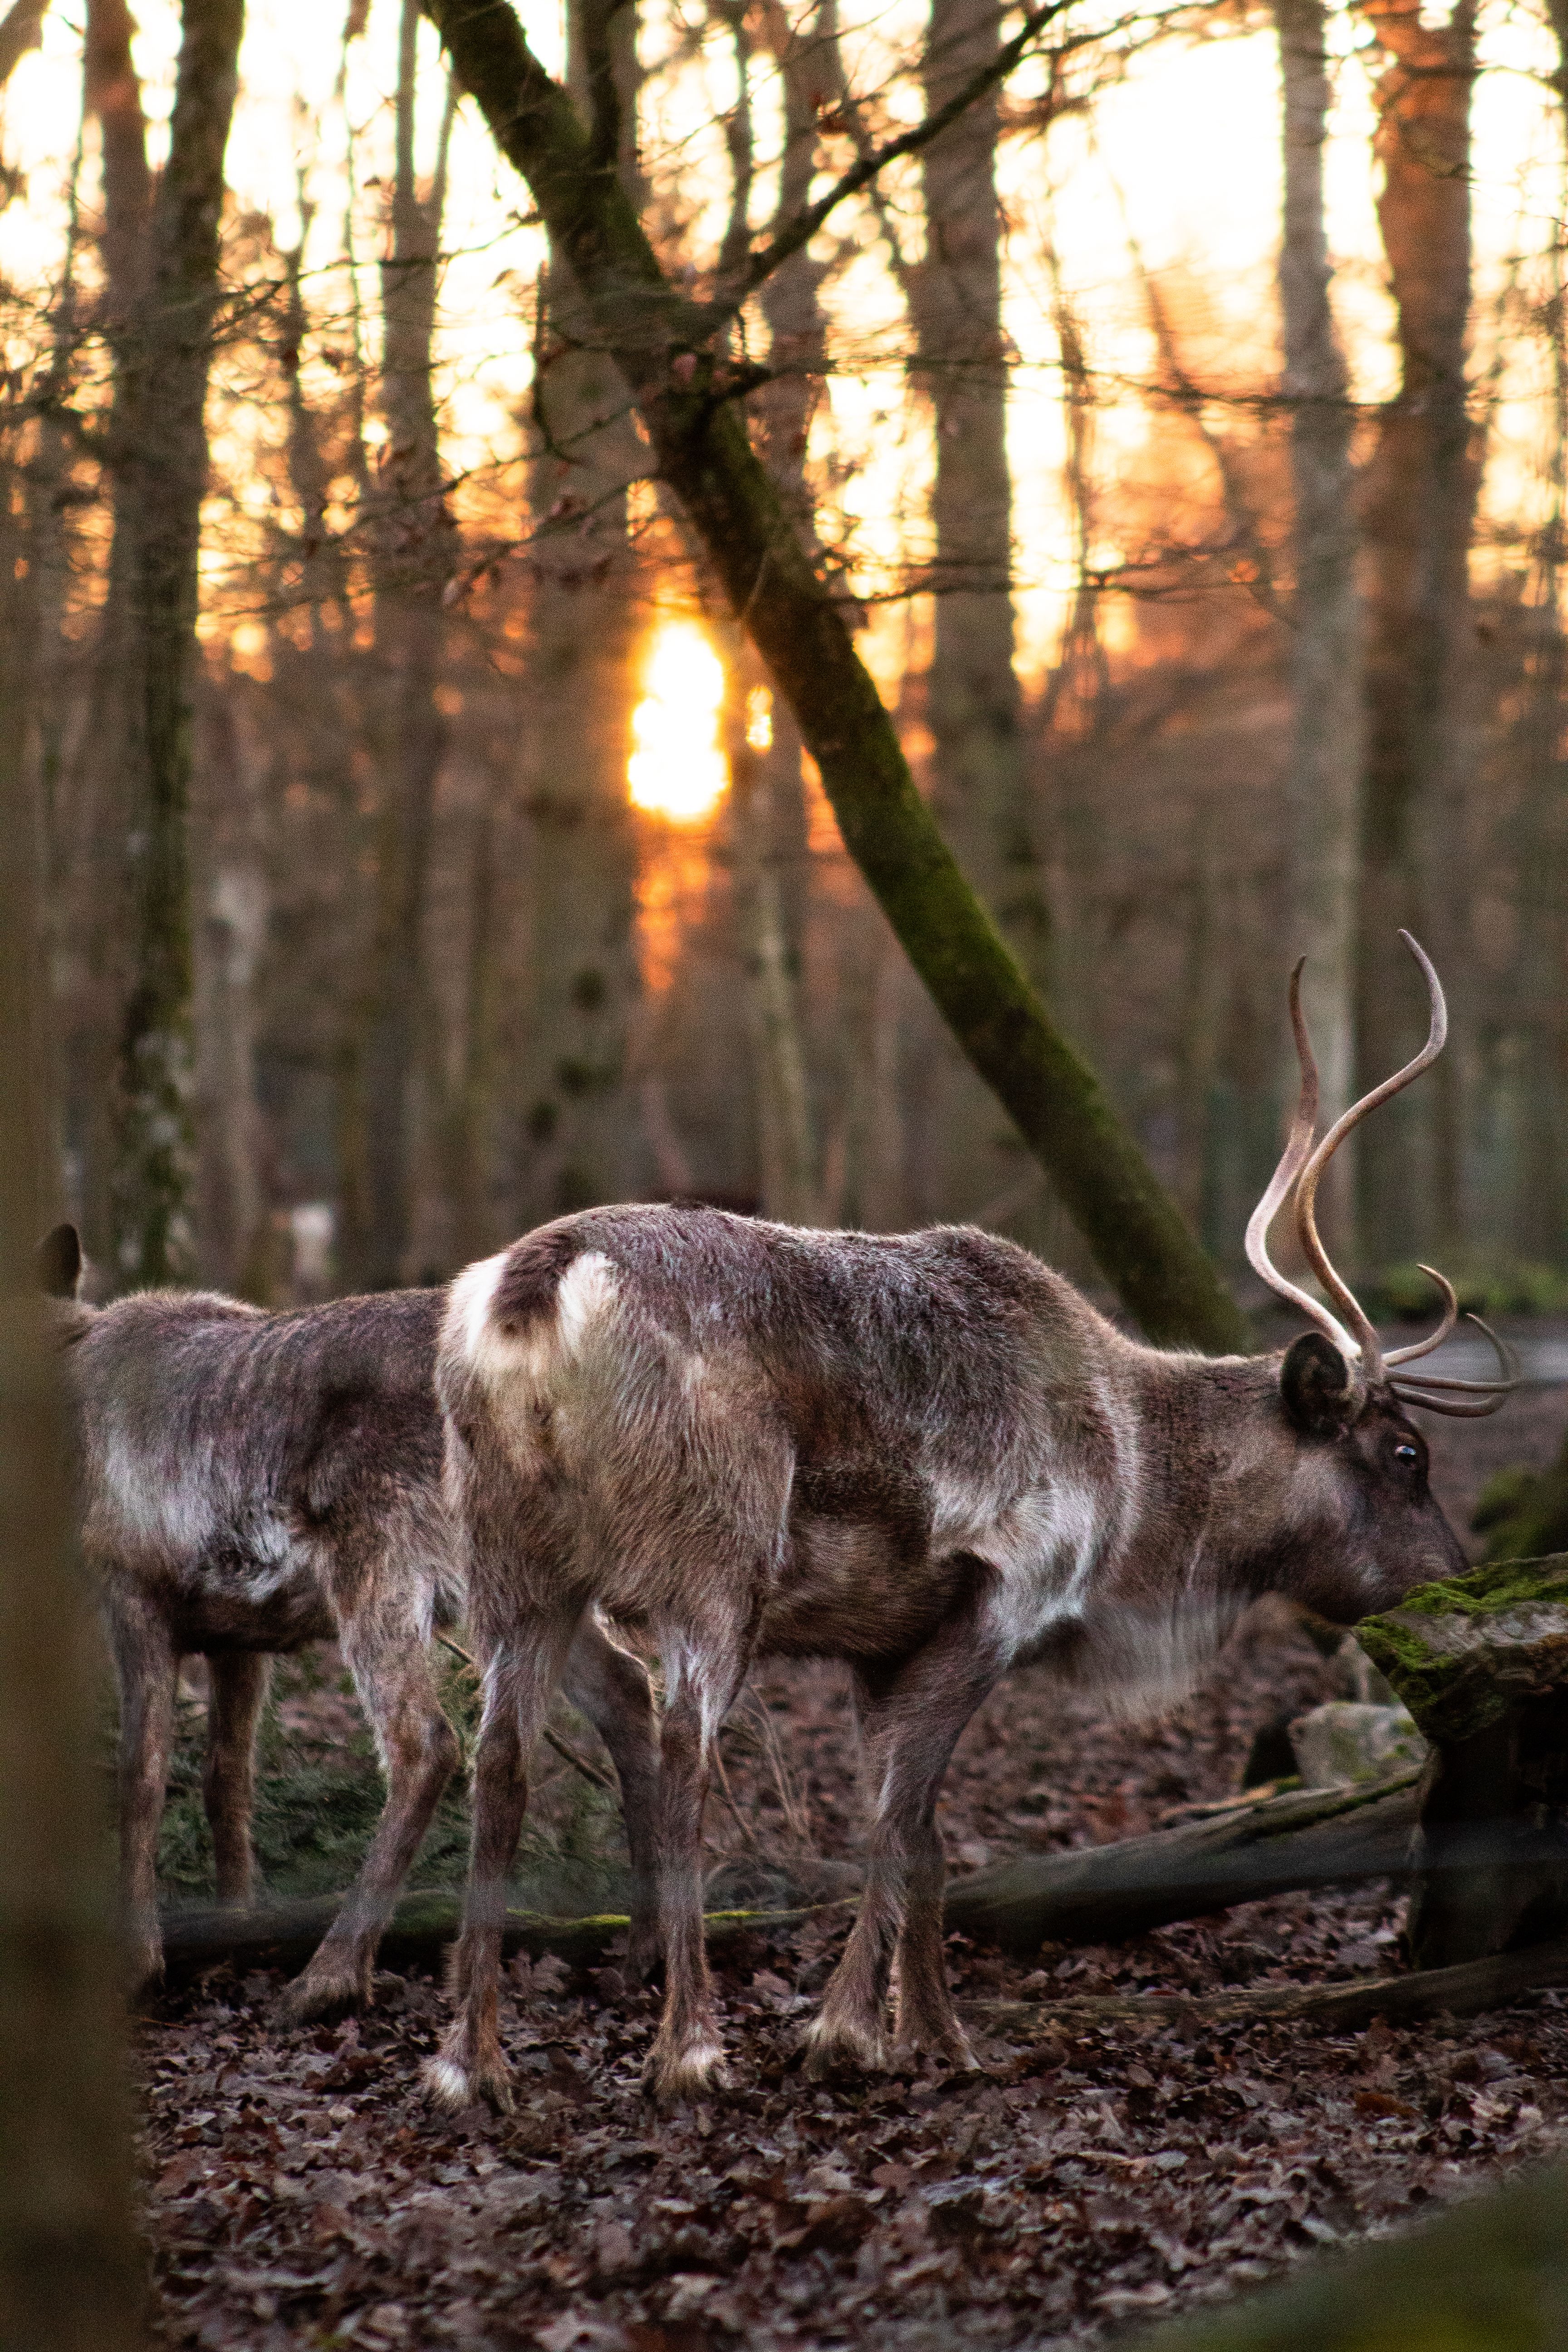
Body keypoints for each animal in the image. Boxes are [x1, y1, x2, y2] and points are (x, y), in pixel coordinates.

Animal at [39, 1233, 664, 2019]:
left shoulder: (130, 1584)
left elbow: (142, 1775)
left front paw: (139, 1963)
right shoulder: (237, 1631)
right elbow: (227, 1779)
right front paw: (234, 1923)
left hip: (382, 1555)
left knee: (426, 1742)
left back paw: (331, 1974)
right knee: (627, 1689)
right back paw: (644, 1952)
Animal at [424, 932, 1515, 2109]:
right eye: (1405, 1454)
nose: (1452, 1577)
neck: (1135, 1481)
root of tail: (537, 1288)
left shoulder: (880, 1644)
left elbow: (927, 1837)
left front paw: (936, 2035)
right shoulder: (1006, 1591)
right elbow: (899, 1822)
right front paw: (849, 2032)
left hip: (511, 1562)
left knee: (498, 1755)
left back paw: (470, 2062)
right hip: (708, 1564)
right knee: (679, 1757)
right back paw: (691, 2048)